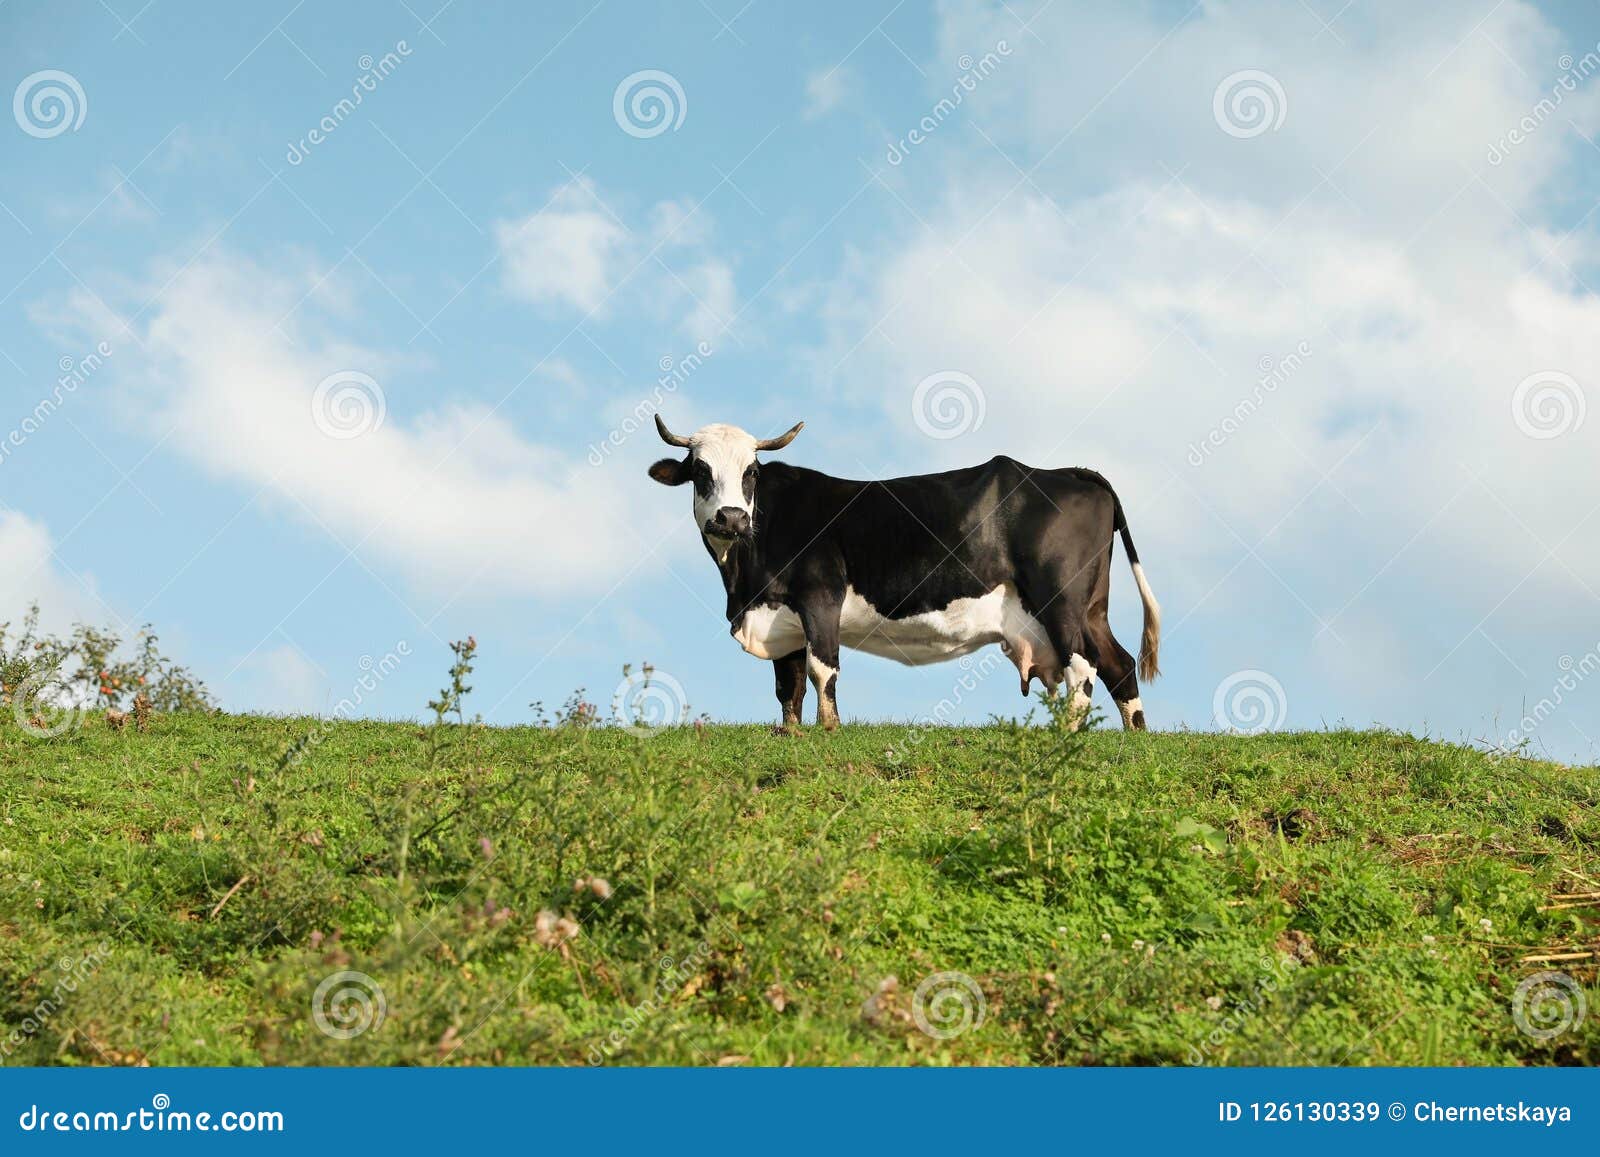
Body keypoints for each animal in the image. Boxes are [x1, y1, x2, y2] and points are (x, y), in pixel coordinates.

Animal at [648, 416, 1160, 733]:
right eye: (700, 470)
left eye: (751, 471)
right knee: (1118, 664)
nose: (732, 518)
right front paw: (791, 734)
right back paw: (1136, 737)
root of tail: (1069, 472)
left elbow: (821, 668)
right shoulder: (779, 614)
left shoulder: (820, 596)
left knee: (1083, 667)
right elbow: (786, 686)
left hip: (1061, 600)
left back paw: (1069, 733)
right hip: (1091, 607)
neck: (743, 578)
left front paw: (829, 729)